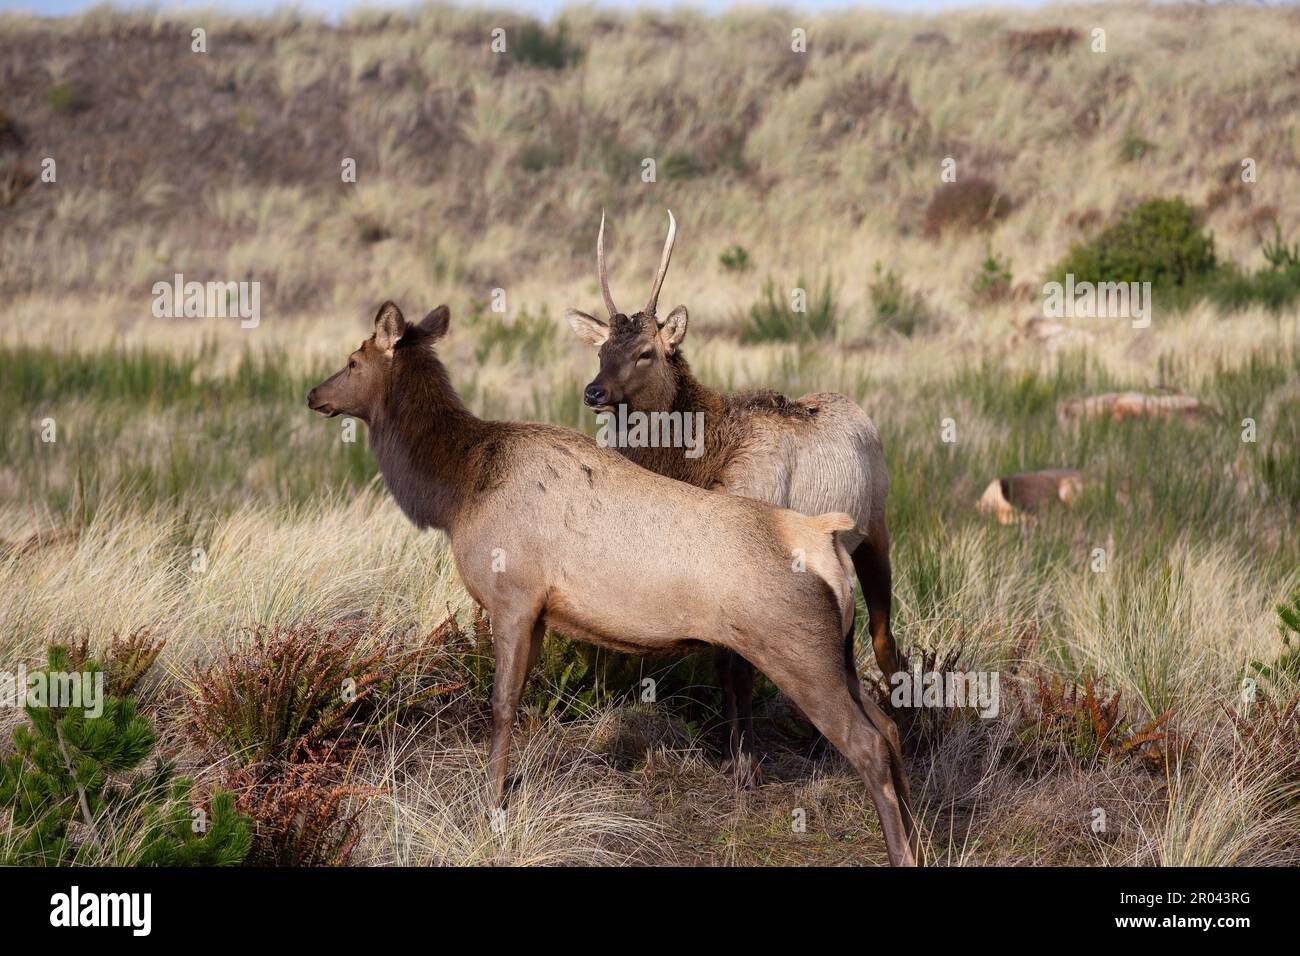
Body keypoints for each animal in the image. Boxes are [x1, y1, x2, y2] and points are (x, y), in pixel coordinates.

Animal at [307, 300, 919, 866]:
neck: (456, 493)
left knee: (867, 741)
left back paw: (900, 849)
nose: (315, 394)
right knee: (887, 725)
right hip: (836, 649)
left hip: (798, 648)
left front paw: (491, 805)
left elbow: (501, 706)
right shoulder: (540, 613)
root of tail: (824, 539)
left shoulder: (513, 597)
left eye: (353, 359)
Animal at [566, 212, 904, 787]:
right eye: (600, 350)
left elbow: (739, 667)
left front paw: (745, 763)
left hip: (875, 531)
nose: (593, 392)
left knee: (884, 640)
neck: (699, 464)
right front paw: (733, 754)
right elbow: (727, 665)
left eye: (645, 352)